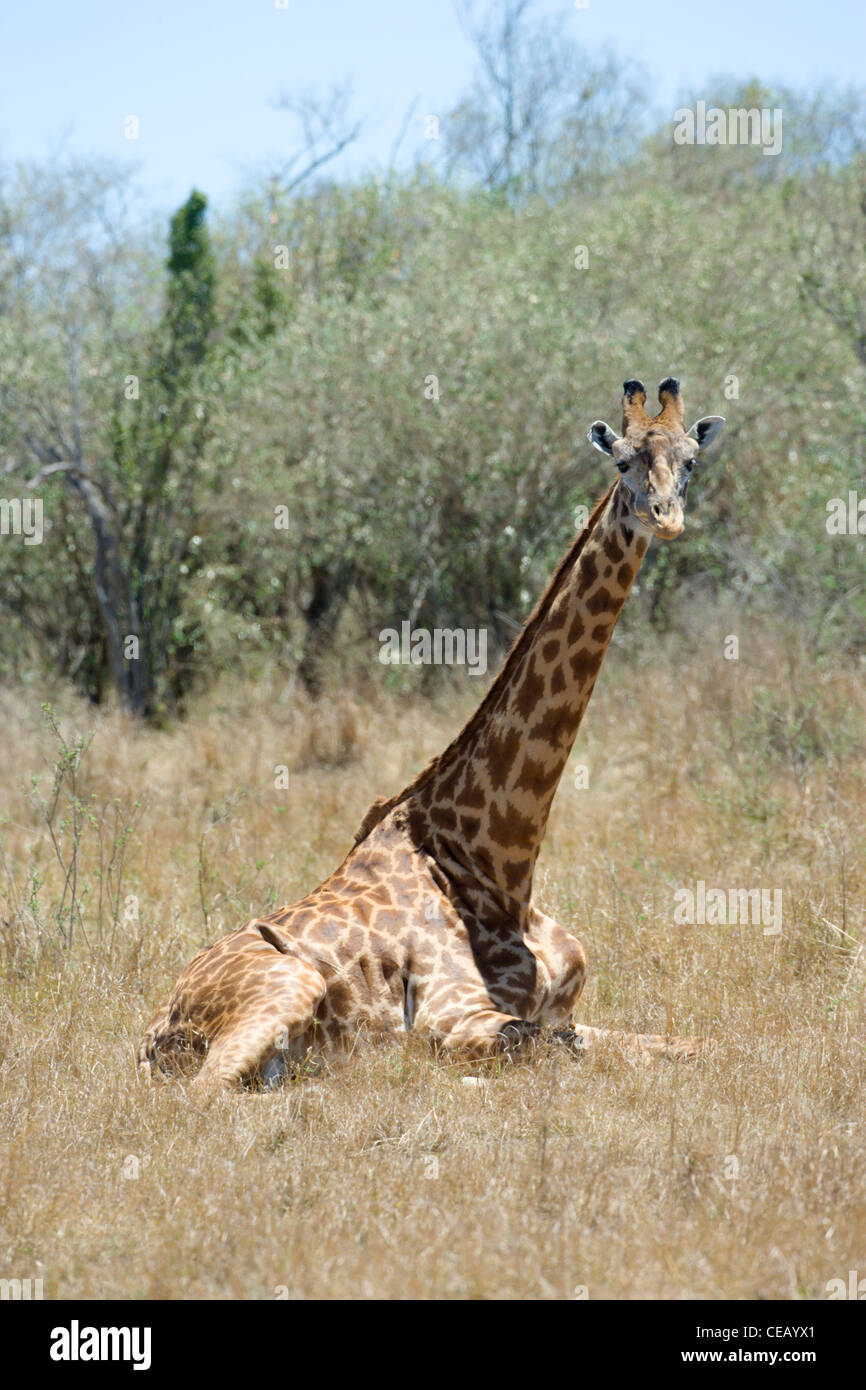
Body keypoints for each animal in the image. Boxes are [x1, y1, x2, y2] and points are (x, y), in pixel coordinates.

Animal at [138, 377, 725, 1089]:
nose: (665, 517)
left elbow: (698, 1045)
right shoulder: (451, 1019)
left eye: (690, 460)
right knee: (205, 1092)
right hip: (285, 987)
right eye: (621, 462)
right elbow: (536, 1045)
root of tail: (155, 1029)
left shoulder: (569, 1010)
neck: (504, 861)